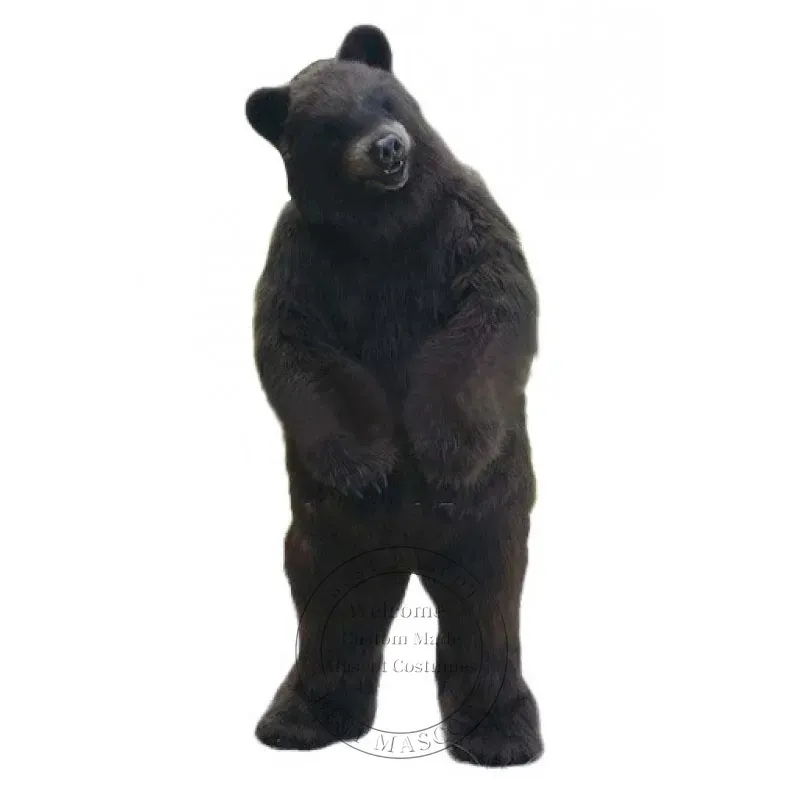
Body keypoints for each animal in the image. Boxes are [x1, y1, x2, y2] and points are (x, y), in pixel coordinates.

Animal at [245, 25, 542, 767]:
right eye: (328, 126)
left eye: (384, 98)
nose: (387, 147)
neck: (384, 228)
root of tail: (409, 548)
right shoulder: (304, 258)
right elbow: (298, 351)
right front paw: (370, 464)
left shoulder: (462, 226)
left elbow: (490, 318)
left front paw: (442, 449)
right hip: (329, 524)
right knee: (329, 599)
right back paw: (298, 718)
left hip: (489, 511)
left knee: (489, 597)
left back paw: (501, 734)